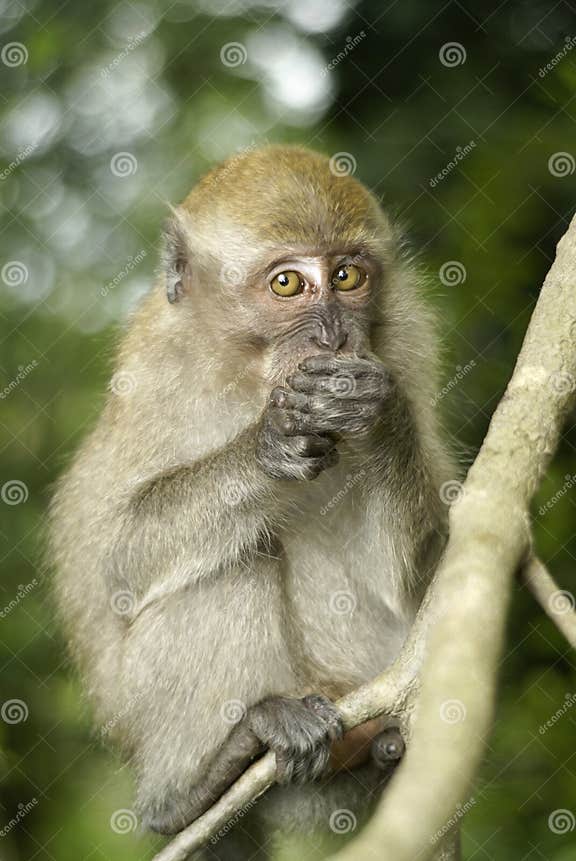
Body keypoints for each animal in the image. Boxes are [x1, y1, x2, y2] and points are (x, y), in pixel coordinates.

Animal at [48, 145, 454, 858]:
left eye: (347, 275)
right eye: (288, 284)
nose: (334, 338)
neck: (249, 375)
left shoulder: (406, 341)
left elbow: (413, 569)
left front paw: (376, 409)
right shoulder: (155, 371)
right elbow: (117, 559)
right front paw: (268, 447)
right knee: (232, 560)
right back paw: (196, 787)